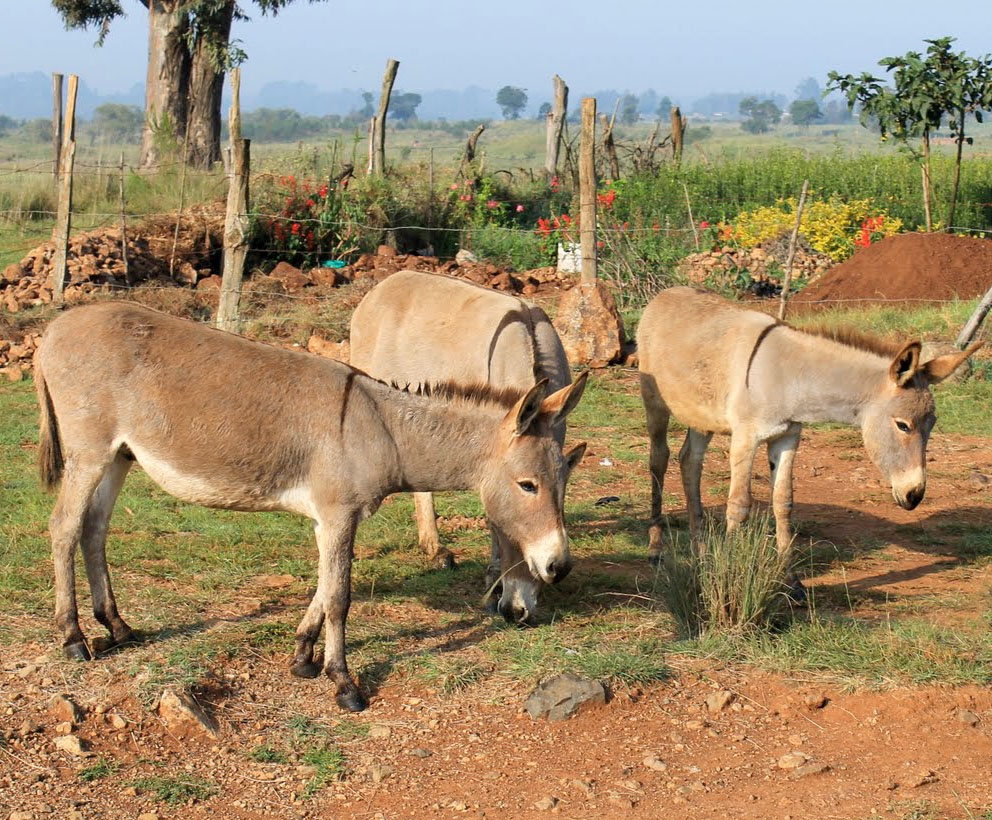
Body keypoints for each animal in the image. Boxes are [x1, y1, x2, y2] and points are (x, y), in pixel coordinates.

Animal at [637, 286, 981, 592]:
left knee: (689, 463)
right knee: (659, 460)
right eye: (903, 426)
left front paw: (792, 582)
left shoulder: (788, 436)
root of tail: (665, 293)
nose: (915, 496)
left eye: (932, 424)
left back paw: (701, 556)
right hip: (654, 402)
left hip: (701, 416)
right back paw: (656, 549)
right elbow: (739, 503)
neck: (789, 377)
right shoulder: (745, 438)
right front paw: (727, 580)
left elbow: (783, 502)